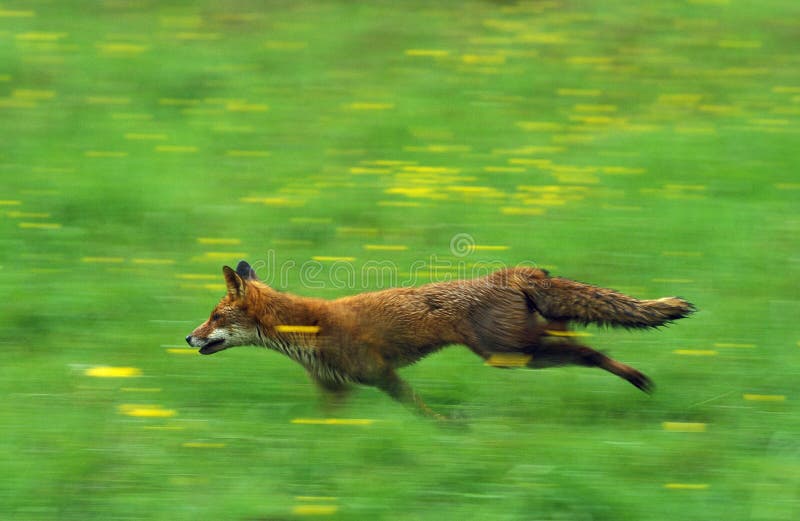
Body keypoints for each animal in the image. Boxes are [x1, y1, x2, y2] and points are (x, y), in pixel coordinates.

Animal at [186, 260, 694, 419]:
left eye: (214, 317)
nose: (188, 337)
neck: (306, 327)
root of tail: (511, 273)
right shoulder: (336, 389)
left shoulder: (380, 374)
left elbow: (420, 411)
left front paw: (450, 428)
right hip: (523, 348)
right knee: (585, 347)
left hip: (509, 351)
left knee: (591, 351)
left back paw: (638, 378)